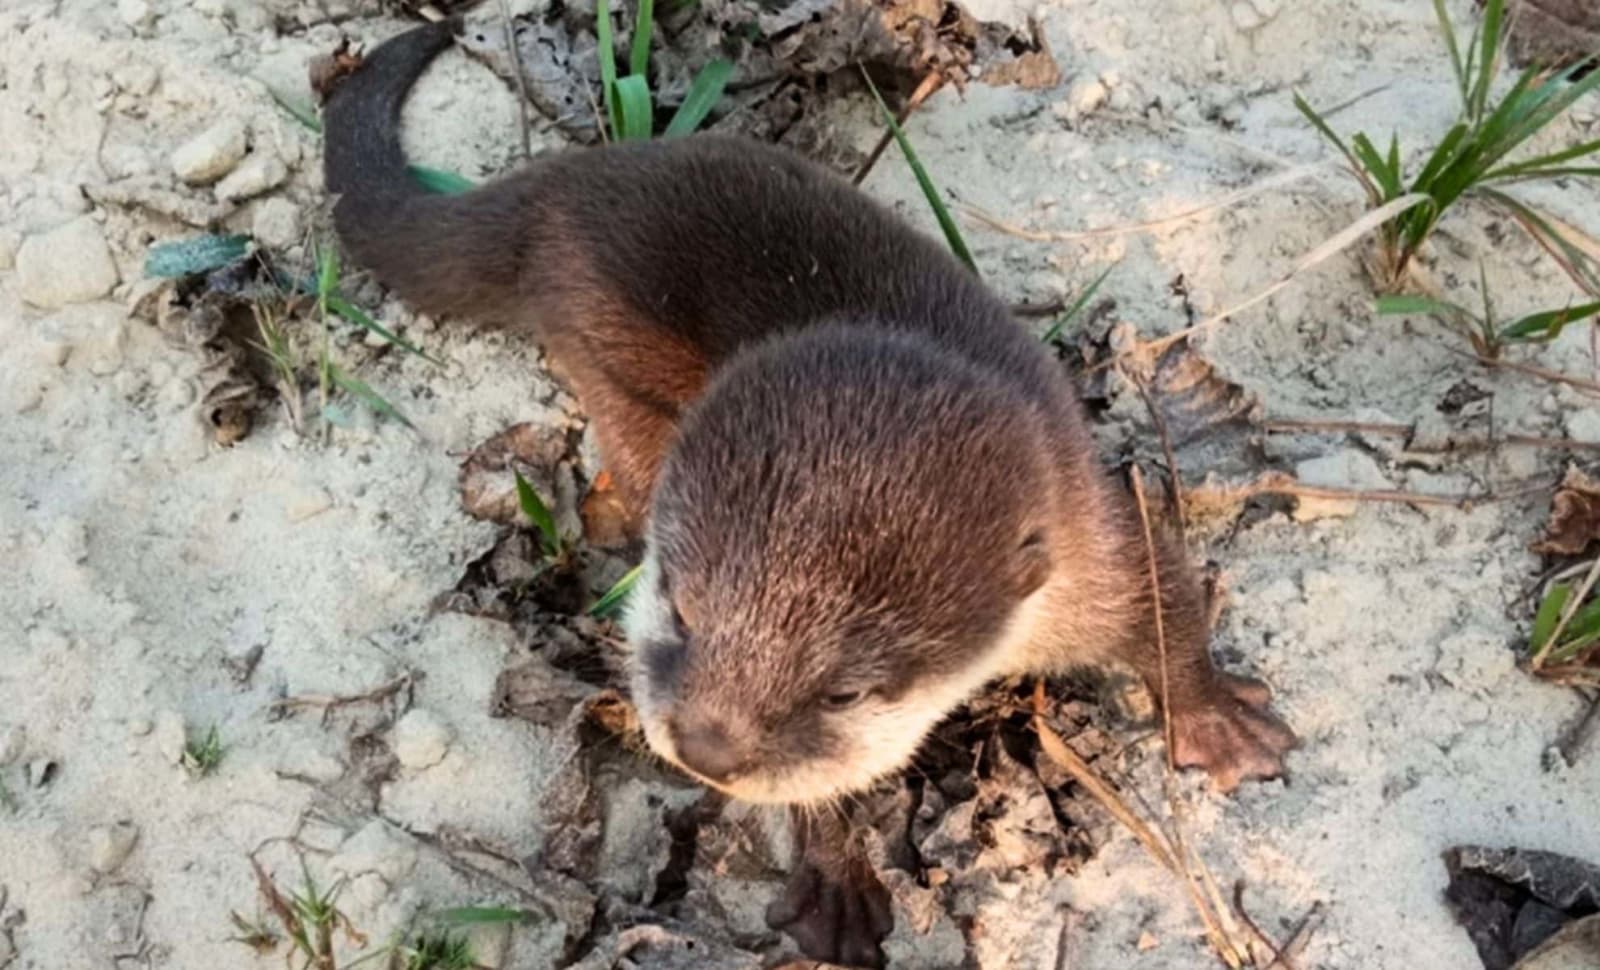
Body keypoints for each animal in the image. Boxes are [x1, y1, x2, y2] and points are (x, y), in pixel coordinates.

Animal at [322, 20, 1296, 967]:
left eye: (845, 694)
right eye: (680, 612)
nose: (707, 747)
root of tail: (577, 178)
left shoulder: (1084, 529)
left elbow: (1164, 588)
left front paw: (1221, 720)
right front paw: (834, 878)